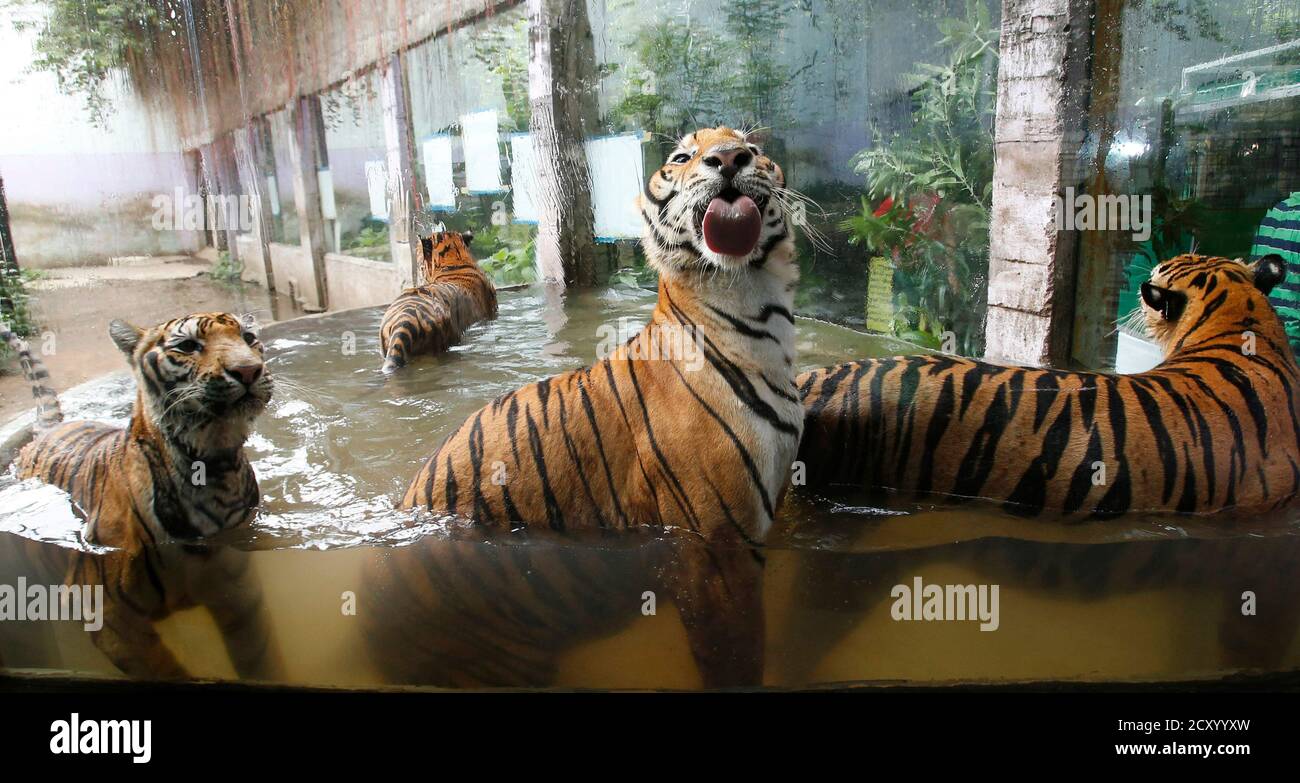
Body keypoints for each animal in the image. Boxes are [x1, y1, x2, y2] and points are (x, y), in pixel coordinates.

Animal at [2, 312, 283, 680]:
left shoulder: (240, 597)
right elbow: (165, 671)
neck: (217, 468)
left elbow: (262, 660)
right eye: (188, 346)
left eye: (248, 338)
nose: (249, 371)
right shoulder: (104, 612)